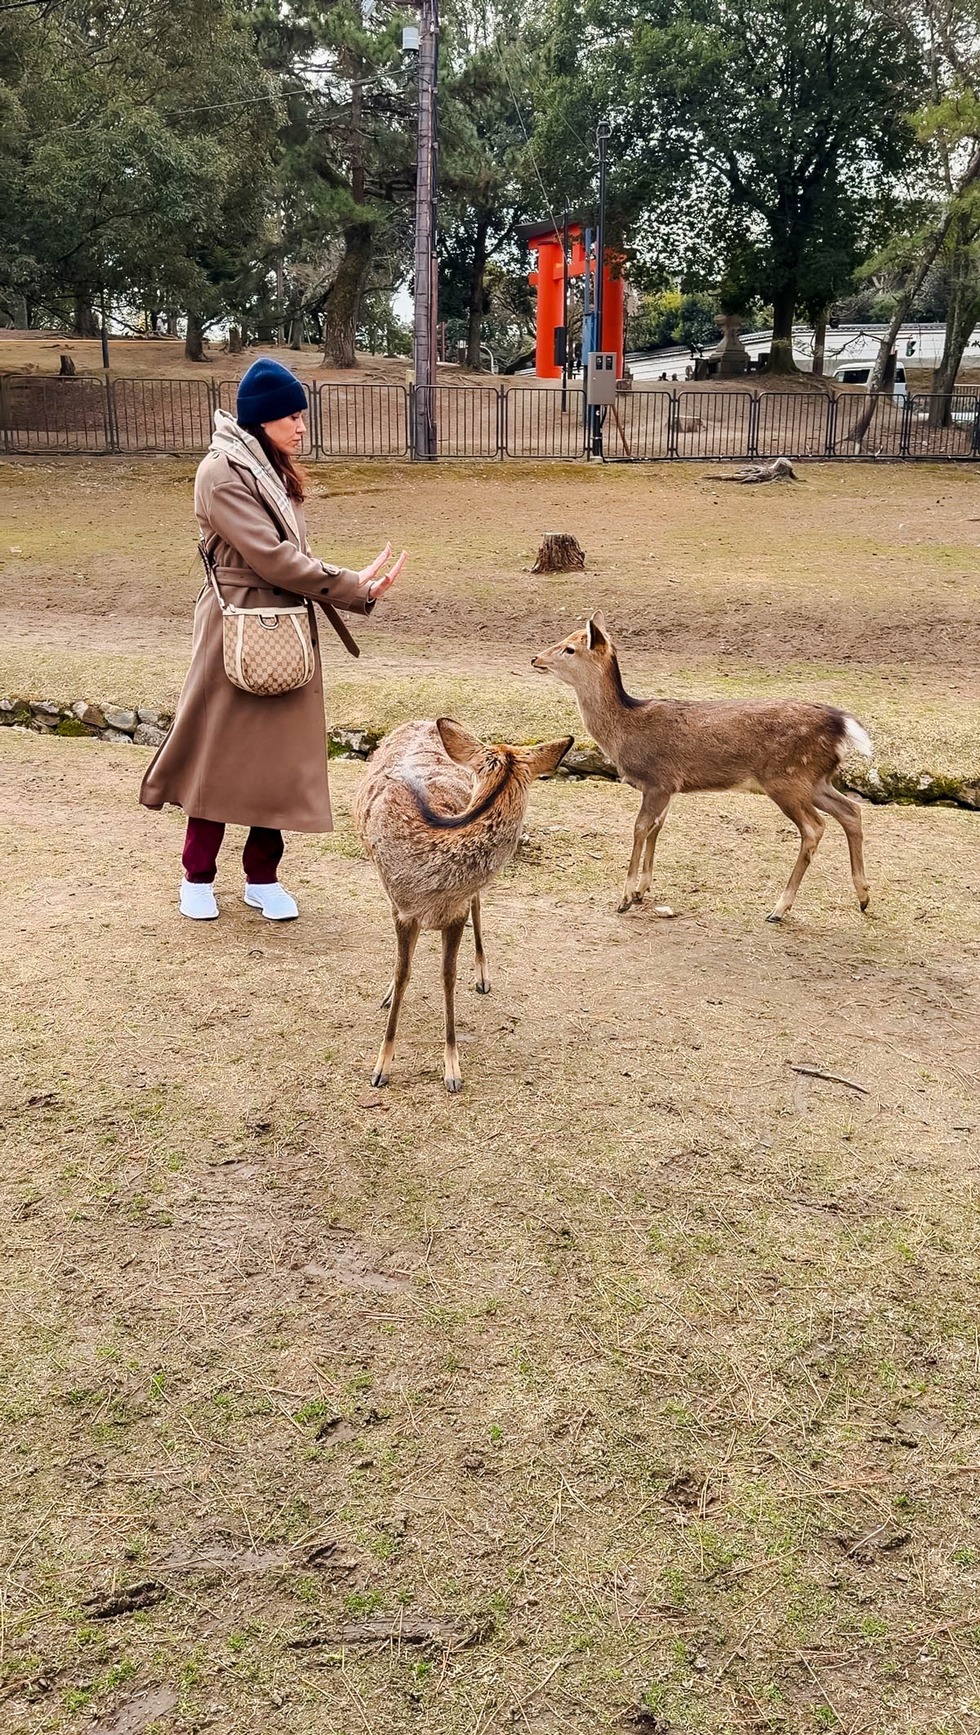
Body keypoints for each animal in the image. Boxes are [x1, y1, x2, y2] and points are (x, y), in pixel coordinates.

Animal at [353, 718, 572, 1092]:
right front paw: (381, 1067)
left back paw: (483, 977)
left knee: (479, 906)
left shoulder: (455, 914)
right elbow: (403, 973)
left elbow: (448, 976)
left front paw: (452, 1070)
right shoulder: (402, 911)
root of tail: (423, 720)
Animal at [531, 614, 873, 923]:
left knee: (815, 827)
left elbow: (640, 828)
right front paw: (642, 889)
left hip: (786, 778)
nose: (535, 658)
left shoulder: (658, 779)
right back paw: (863, 897)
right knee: (851, 811)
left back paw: (779, 908)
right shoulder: (670, 788)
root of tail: (843, 725)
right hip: (816, 780)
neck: (624, 731)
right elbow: (656, 827)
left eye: (570, 648)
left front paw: (625, 897)